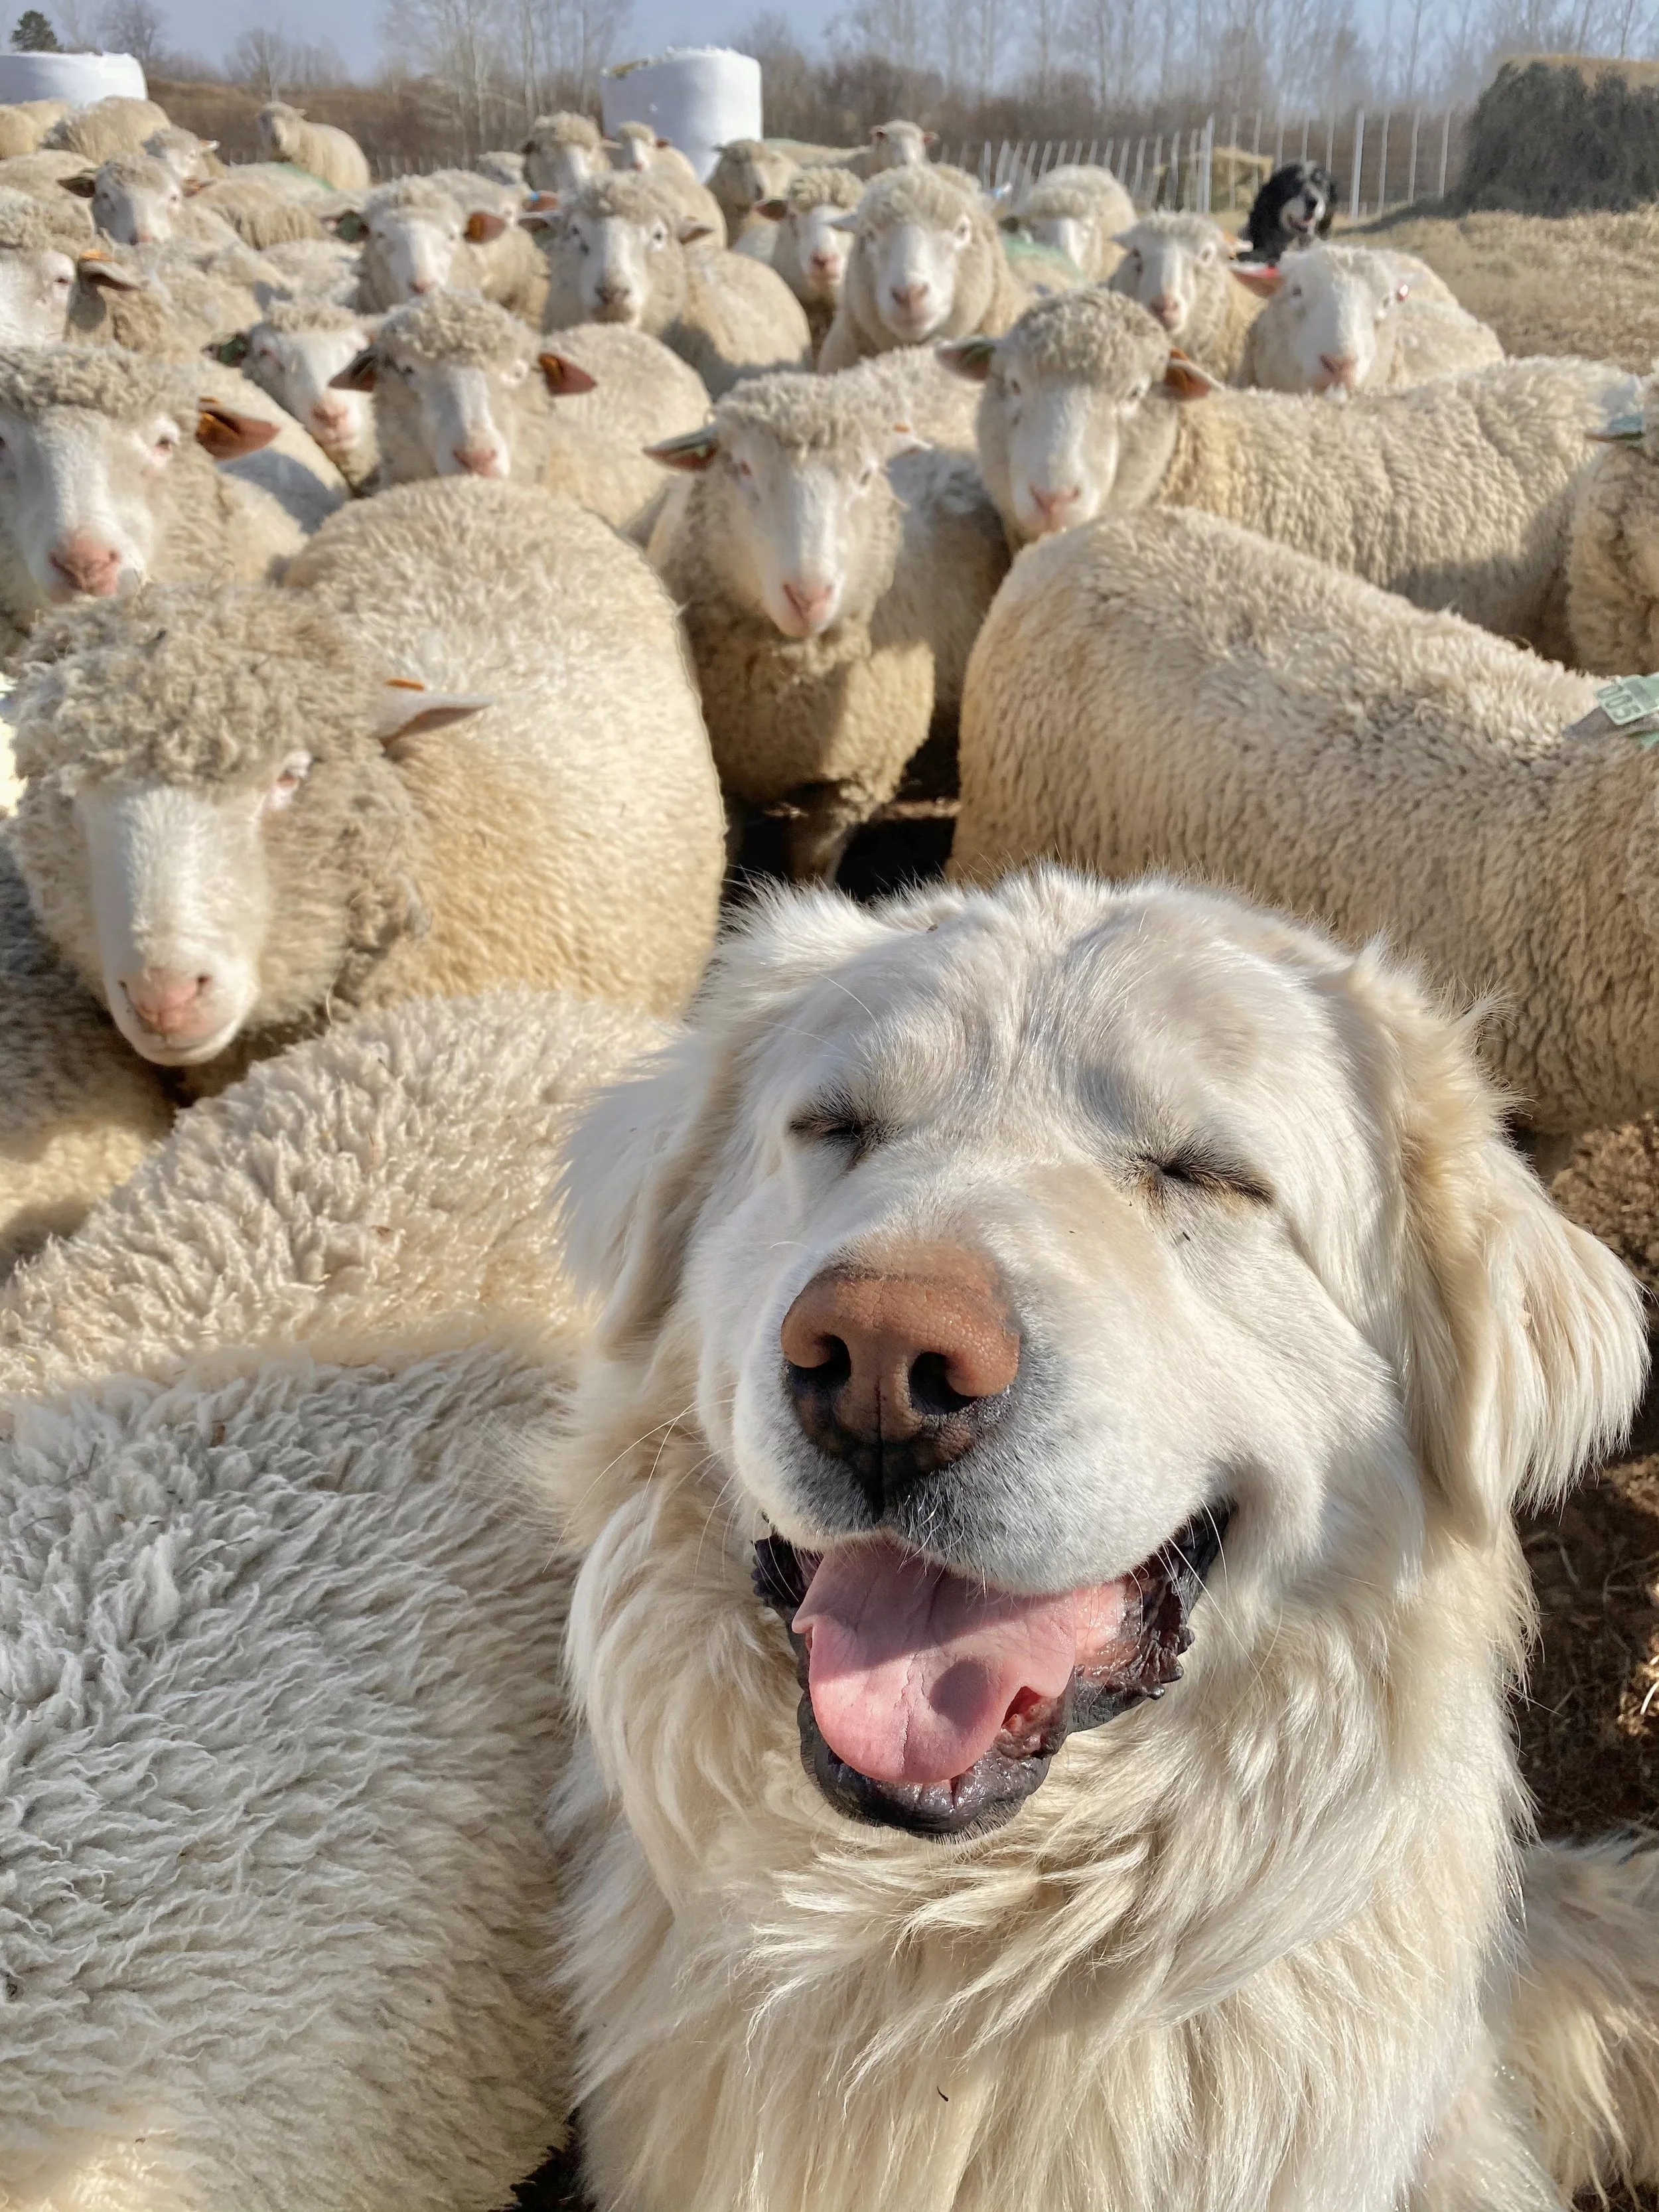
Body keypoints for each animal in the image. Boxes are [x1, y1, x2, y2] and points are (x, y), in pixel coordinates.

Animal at [645, 368, 1008, 878]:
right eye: (743, 468)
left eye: (865, 476)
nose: (809, 597)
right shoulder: (724, 773)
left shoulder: (853, 779)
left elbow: (814, 862)